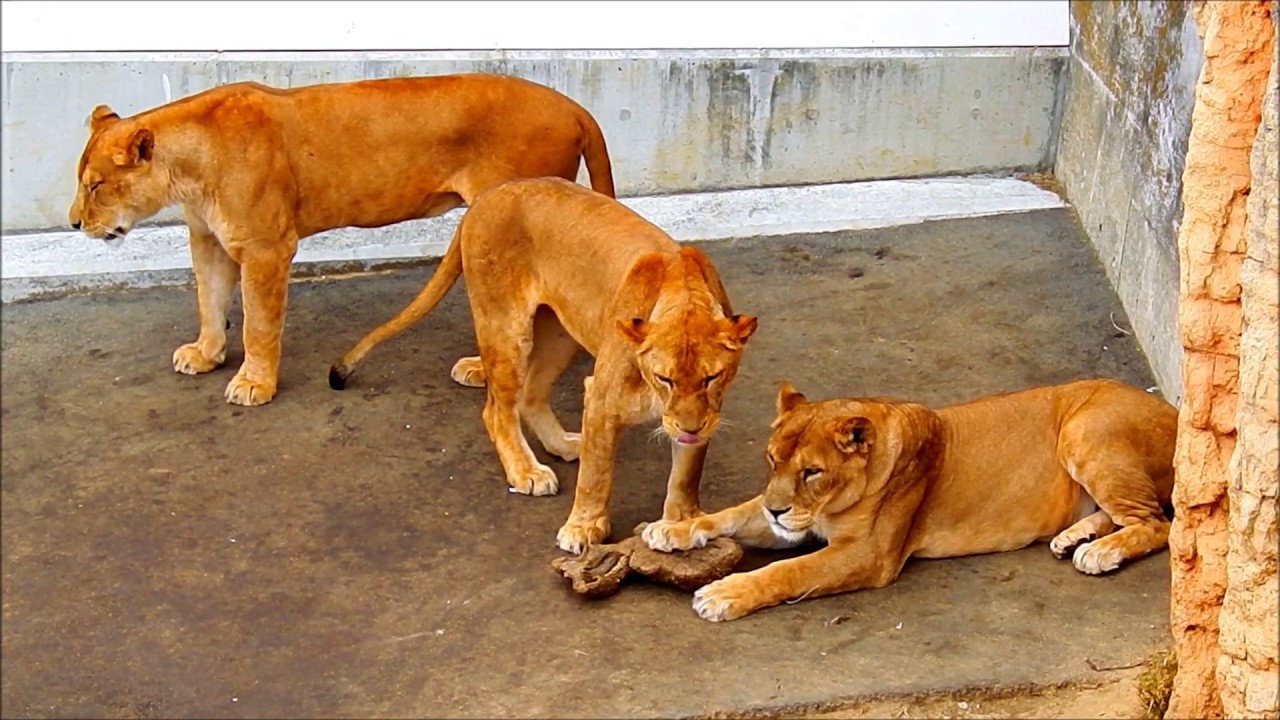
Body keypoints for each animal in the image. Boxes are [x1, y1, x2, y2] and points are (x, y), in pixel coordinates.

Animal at [67, 74, 614, 407]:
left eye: (94, 185)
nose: (73, 224)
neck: (190, 168)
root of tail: (574, 106)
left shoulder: (267, 247)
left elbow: (258, 323)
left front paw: (254, 383)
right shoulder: (208, 241)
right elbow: (209, 302)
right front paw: (205, 354)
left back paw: (481, 368)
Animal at [328, 177, 758, 553]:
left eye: (712, 377)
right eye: (663, 378)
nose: (688, 428)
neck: (683, 294)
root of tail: (487, 196)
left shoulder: (705, 416)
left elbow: (685, 476)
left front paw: (678, 524)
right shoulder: (602, 398)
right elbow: (596, 476)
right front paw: (583, 528)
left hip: (559, 333)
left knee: (531, 395)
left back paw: (566, 445)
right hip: (507, 329)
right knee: (497, 410)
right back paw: (526, 471)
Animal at [641, 378, 1178, 622]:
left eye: (812, 472)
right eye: (772, 460)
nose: (778, 509)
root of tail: (1173, 409)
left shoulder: (868, 555)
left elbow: (786, 572)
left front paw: (723, 593)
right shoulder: (787, 519)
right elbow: (731, 514)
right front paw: (671, 530)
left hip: (1086, 430)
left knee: (1158, 523)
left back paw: (1099, 551)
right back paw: (1074, 536)